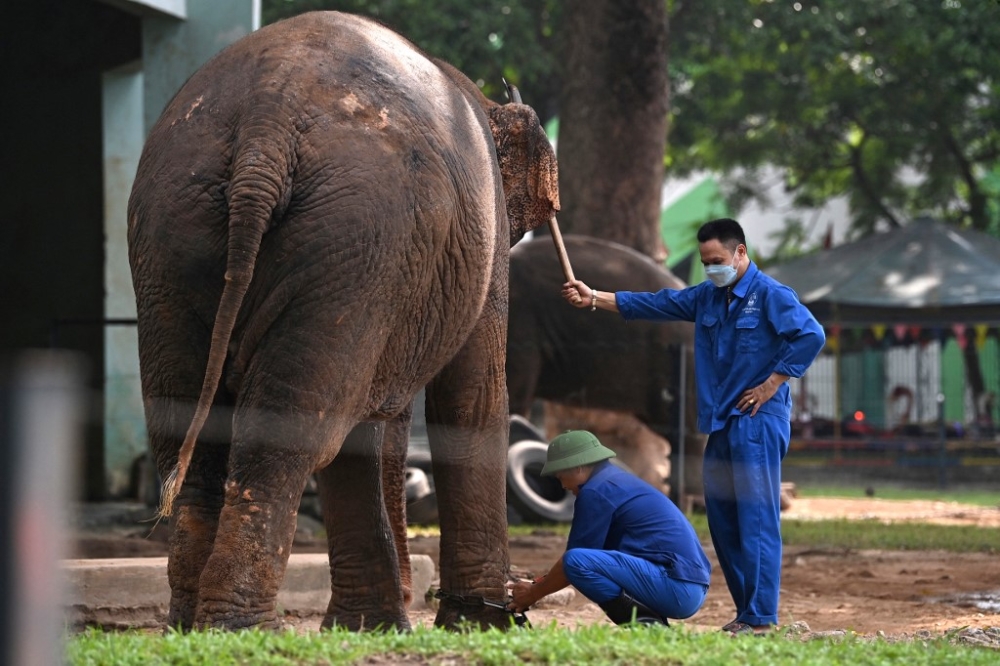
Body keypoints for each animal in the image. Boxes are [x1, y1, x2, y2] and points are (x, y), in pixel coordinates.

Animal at [127, 11, 559, 632]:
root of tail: (265, 124)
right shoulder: (486, 235)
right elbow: (471, 396)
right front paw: (486, 624)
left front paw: (369, 627)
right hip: (357, 232)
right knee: (290, 437)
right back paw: (242, 630)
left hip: (182, 229)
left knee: (193, 425)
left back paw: (191, 629)